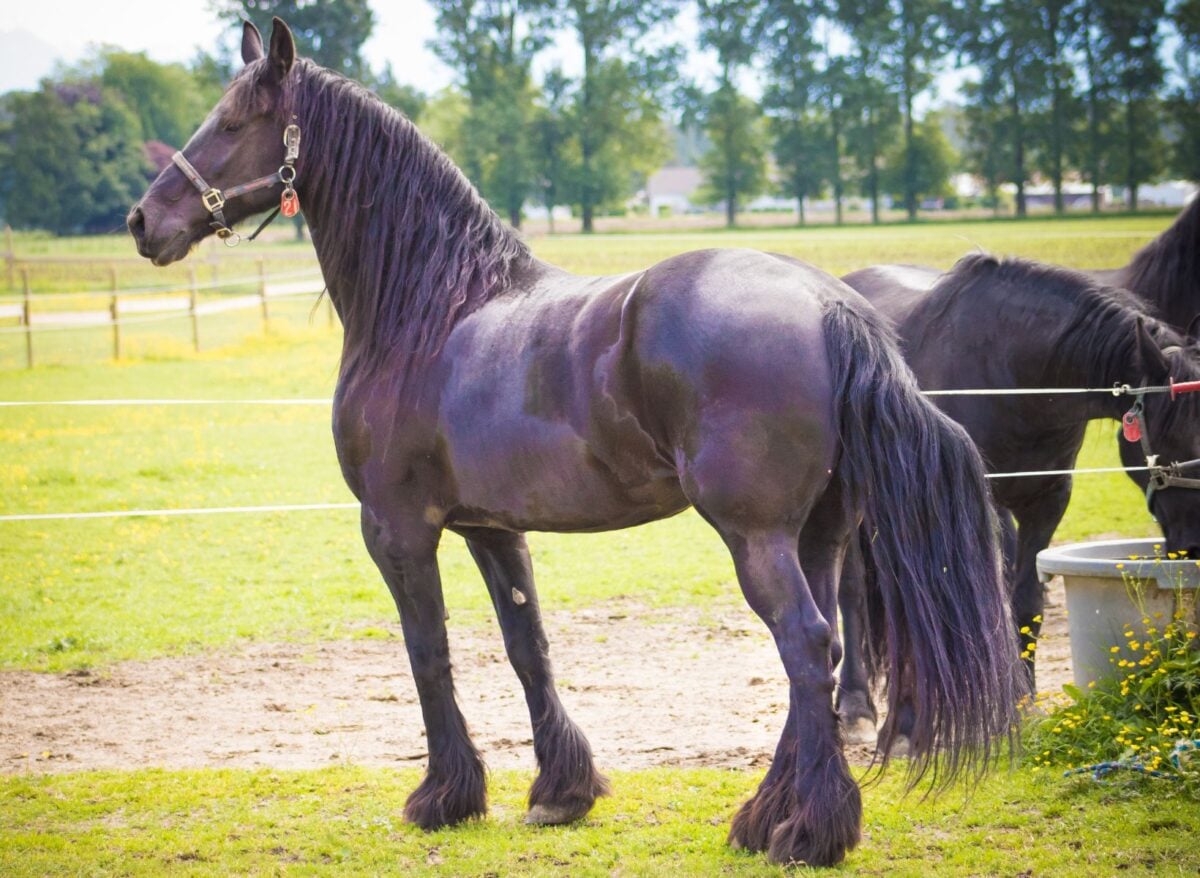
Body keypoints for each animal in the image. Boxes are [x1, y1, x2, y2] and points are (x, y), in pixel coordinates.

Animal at [126, 18, 1019, 867]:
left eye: (233, 121)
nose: (143, 221)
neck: (434, 312)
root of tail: (830, 306)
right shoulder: (491, 528)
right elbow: (529, 647)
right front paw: (561, 791)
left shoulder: (398, 531)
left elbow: (429, 652)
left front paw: (444, 797)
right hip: (822, 534)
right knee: (824, 652)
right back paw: (767, 817)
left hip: (756, 536)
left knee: (803, 645)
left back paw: (808, 833)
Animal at [836, 254, 1200, 745]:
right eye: (1173, 435)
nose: (1195, 548)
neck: (1017, 376)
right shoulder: (985, 503)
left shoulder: (1047, 501)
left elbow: (1025, 602)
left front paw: (1025, 705)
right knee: (854, 590)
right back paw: (857, 706)